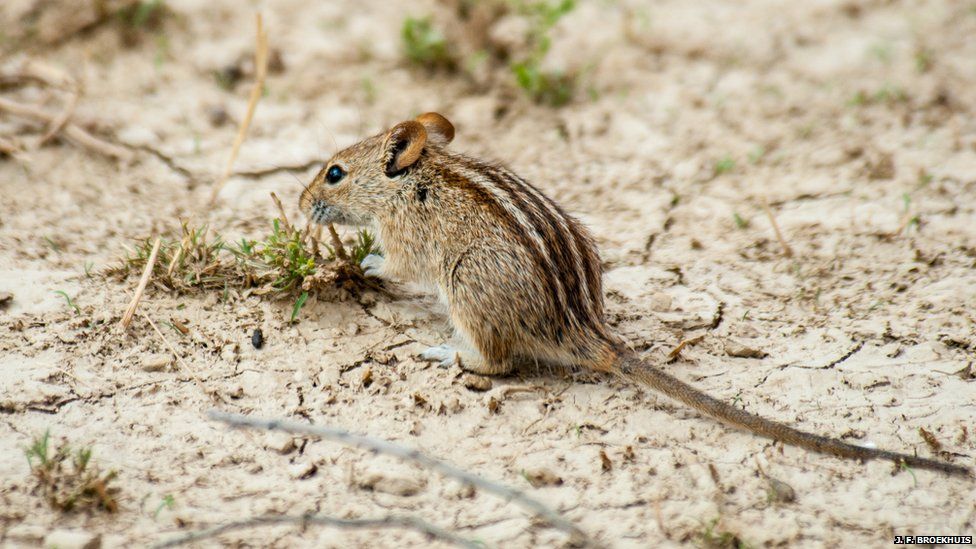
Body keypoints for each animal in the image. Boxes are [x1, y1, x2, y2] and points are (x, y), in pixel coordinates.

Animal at [299, 112, 969, 477]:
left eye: (333, 173)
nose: (303, 204)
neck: (414, 178)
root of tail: (591, 336)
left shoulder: (408, 245)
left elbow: (391, 263)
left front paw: (354, 259)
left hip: (467, 287)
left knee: (496, 363)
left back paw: (442, 353)